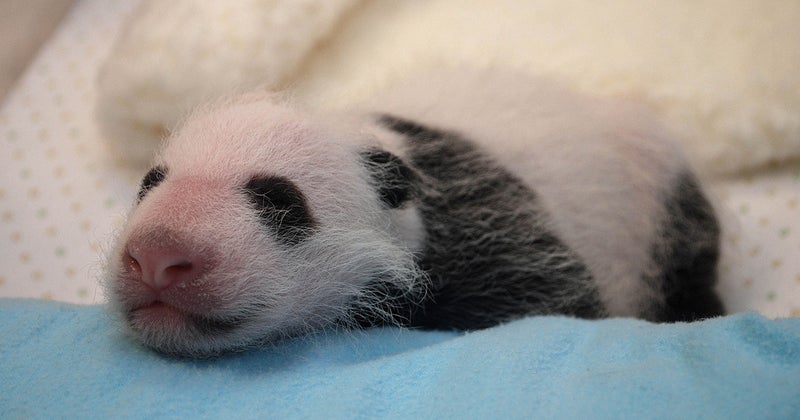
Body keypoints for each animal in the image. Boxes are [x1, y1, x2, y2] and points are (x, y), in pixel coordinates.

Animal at [104, 69, 724, 357]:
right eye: (149, 184)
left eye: (278, 201)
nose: (157, 258)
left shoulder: (488, 223)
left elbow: (562, 298)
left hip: (663, 207)